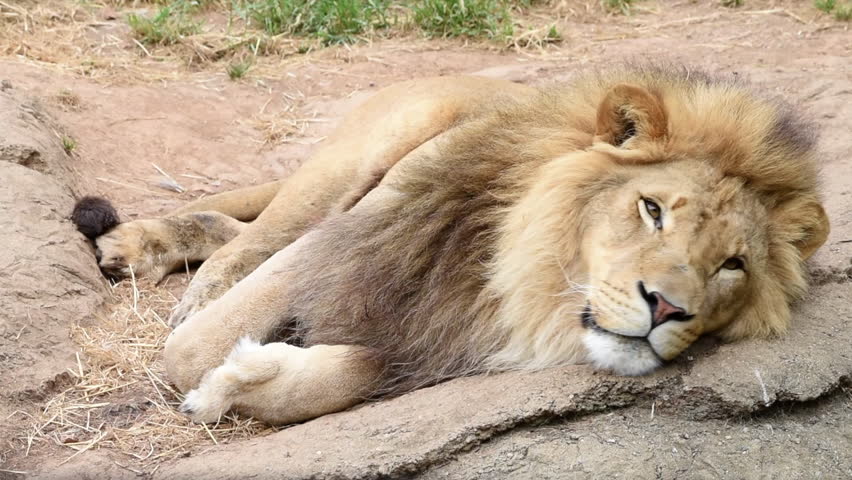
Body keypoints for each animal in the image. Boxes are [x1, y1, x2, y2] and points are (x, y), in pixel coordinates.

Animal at [73, 66, 830, 425]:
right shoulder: (368, 237)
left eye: (732, 265)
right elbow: (191, 349)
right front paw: (214, 369)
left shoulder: (433, 332)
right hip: (362, 153)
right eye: (651, 211)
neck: (525, 282)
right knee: (256, 236)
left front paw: (250, 375)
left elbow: (348, 374)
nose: (669, 309)